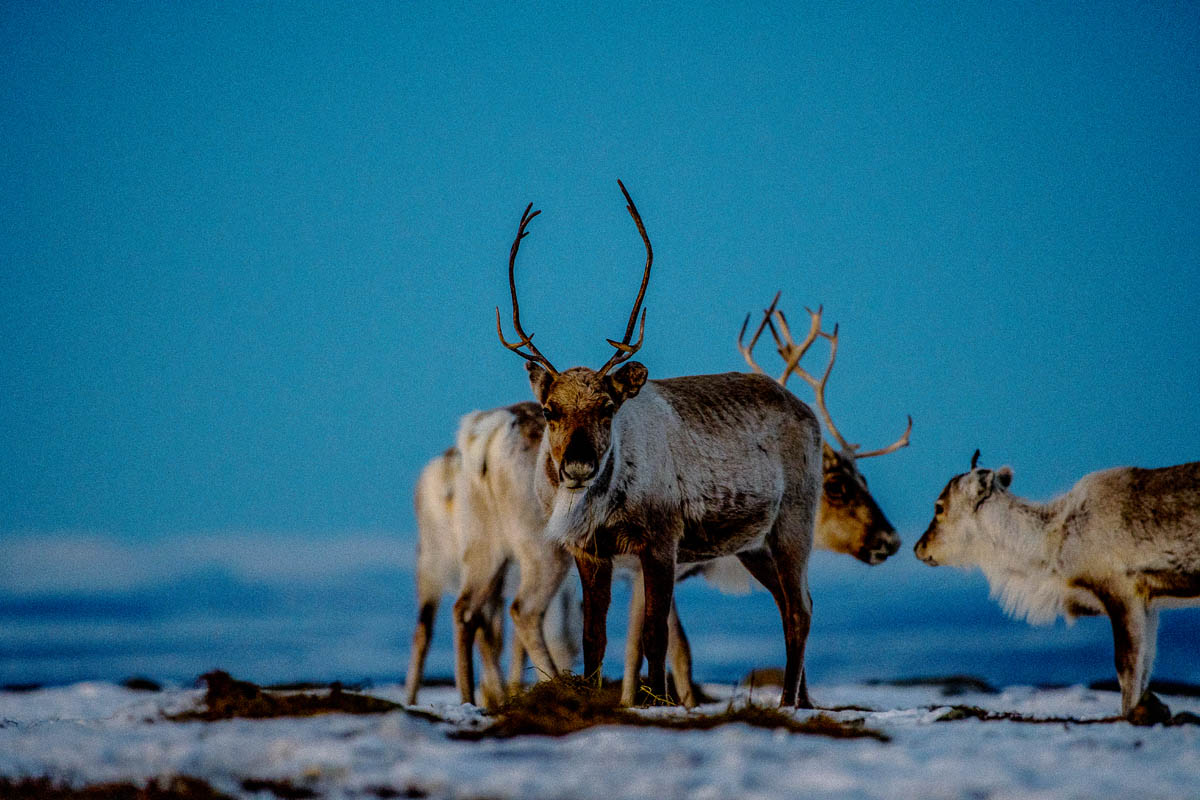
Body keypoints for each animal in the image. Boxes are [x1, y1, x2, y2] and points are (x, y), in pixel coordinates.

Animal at [495, 181, 823, 707]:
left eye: (607, 406)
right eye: (550, 410)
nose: (579, 464)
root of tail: (806, 410)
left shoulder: (661, 540)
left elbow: (654, 634)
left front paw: (658, 702)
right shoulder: (590, 550)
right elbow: (594, 635)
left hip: (793, 522)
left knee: (800, 609)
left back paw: (789, 702)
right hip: (751, 544)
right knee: (787, 605)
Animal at [914, 450, 1200, 724]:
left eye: (939, 507)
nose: (919, 548)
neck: (1055, 539)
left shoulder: (1120, 590)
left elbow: (1127, 665)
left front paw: (1127, 715)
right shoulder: (1148, 603)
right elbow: (1146, 665)